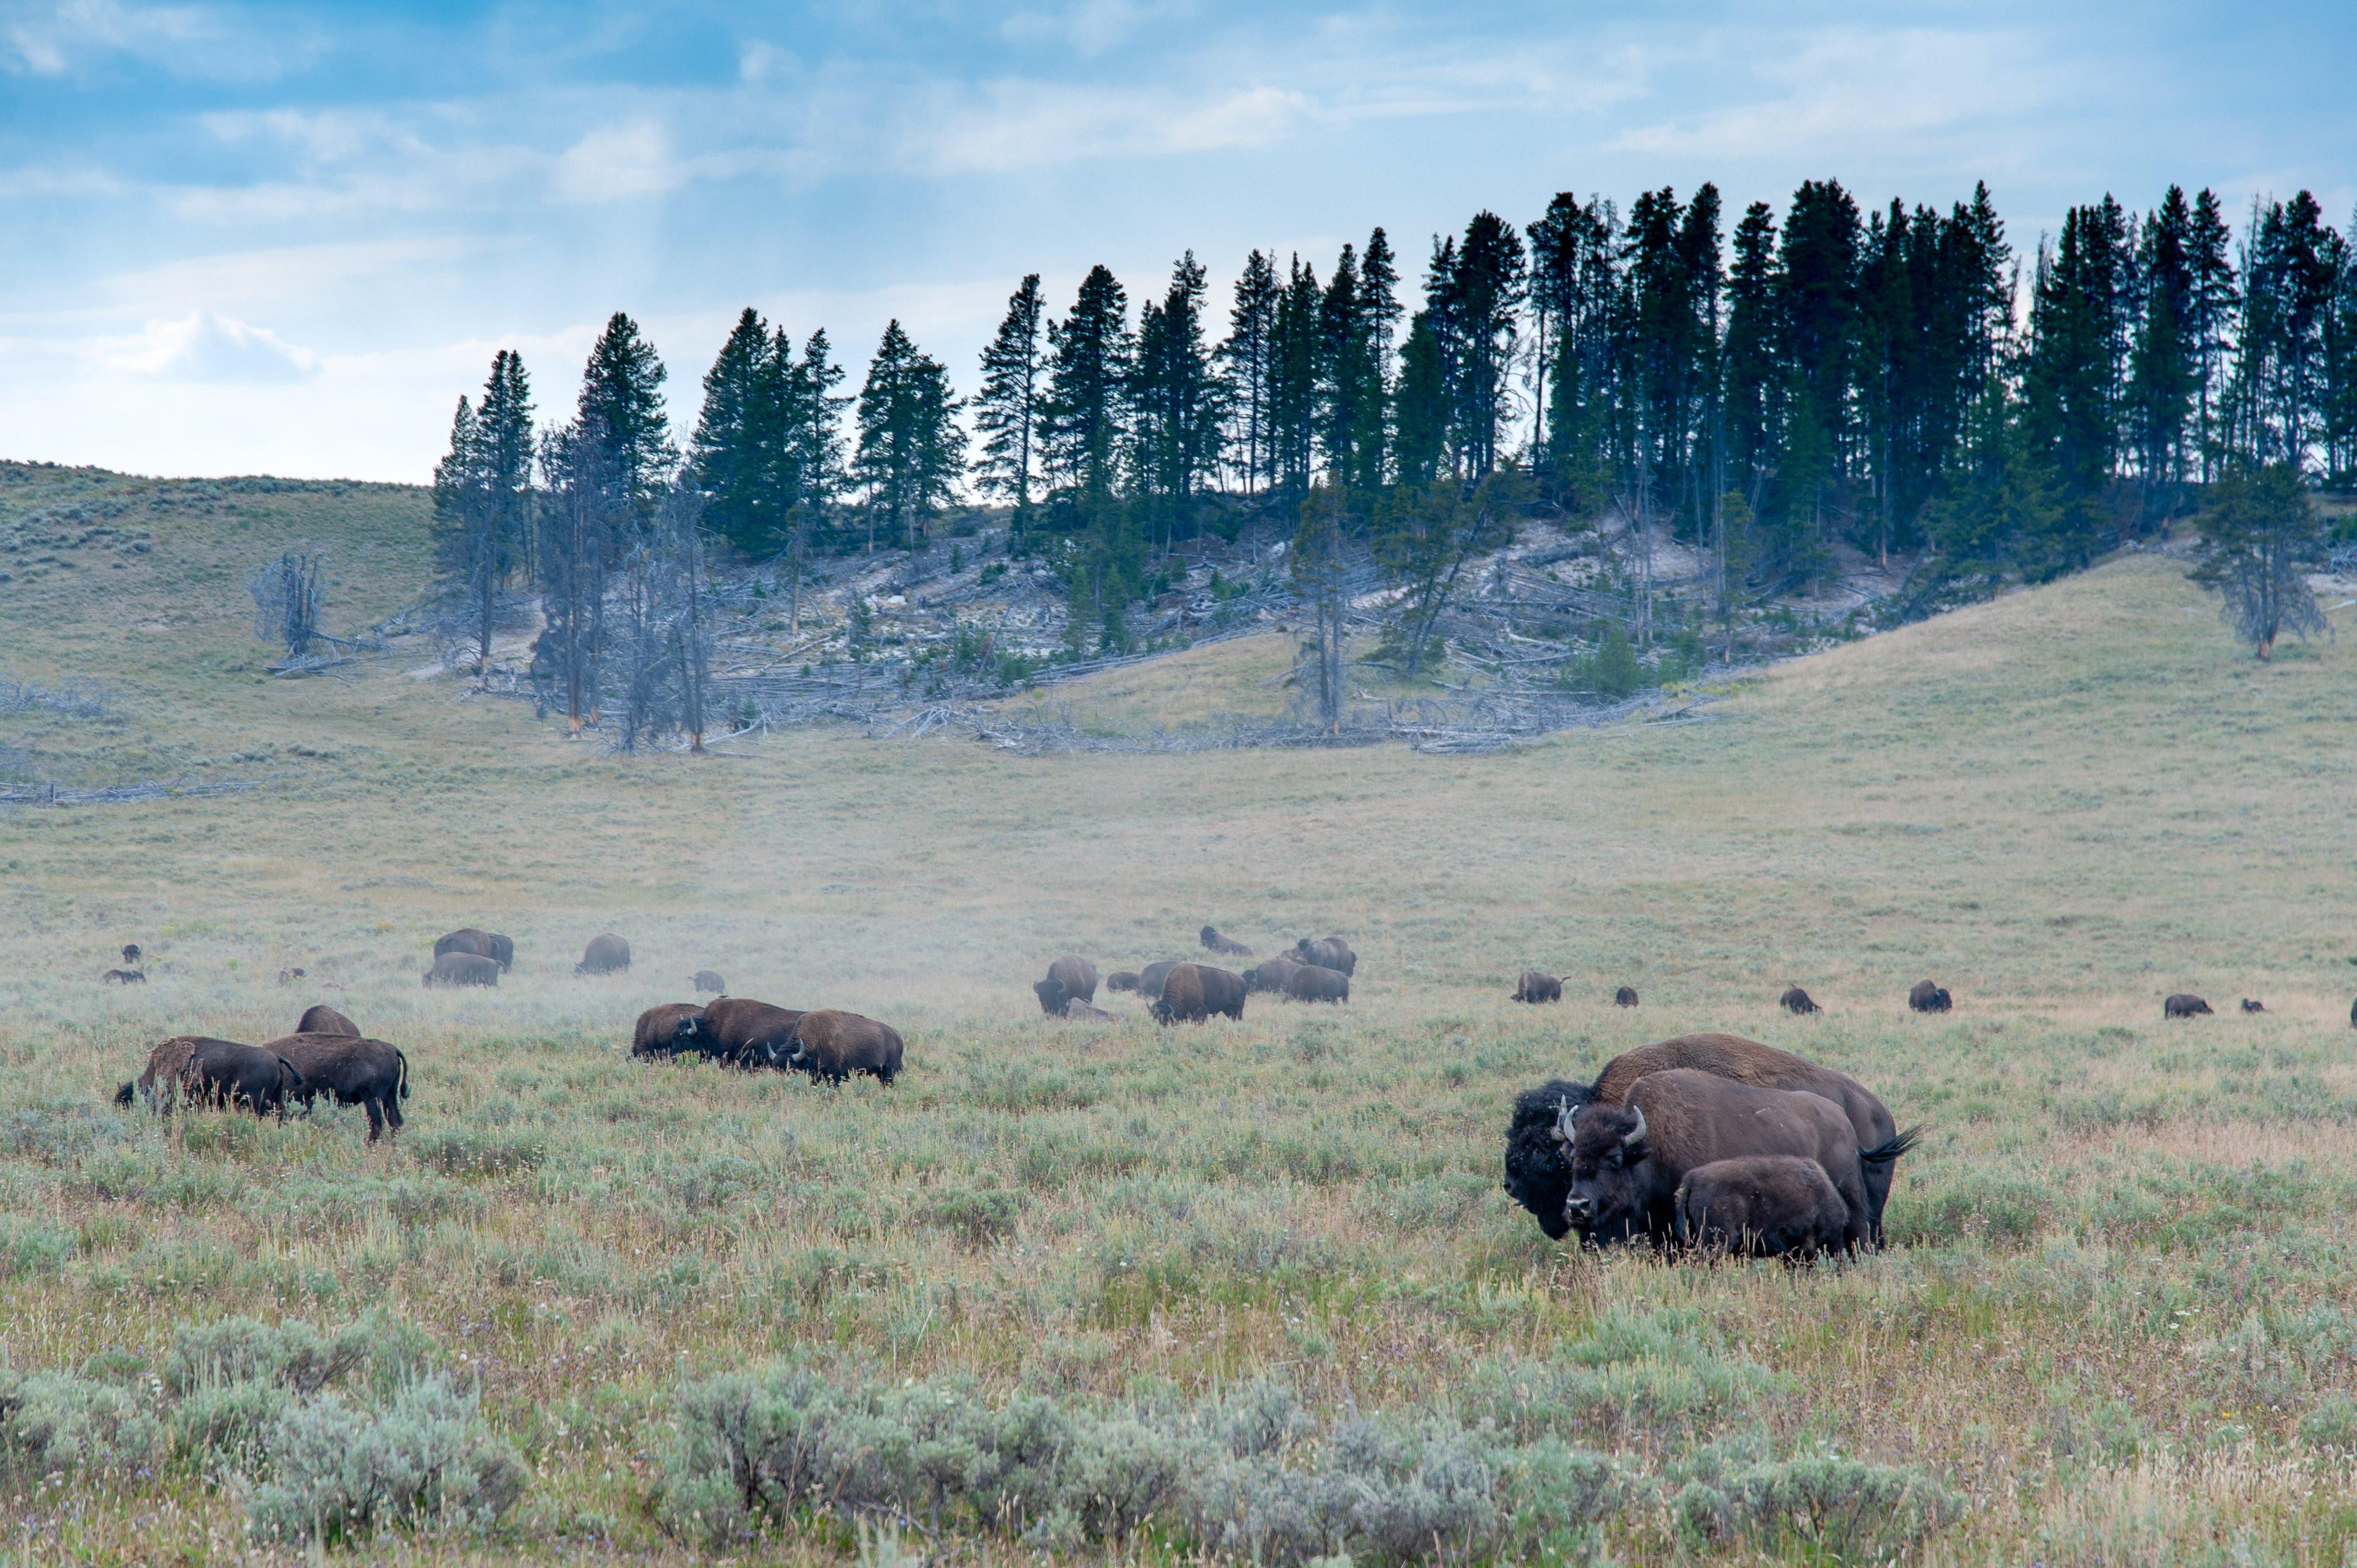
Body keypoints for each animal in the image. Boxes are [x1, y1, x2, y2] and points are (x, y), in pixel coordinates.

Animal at [1151, 962, 1246, 1024]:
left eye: (1166, 1019)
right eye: (1154, 1018)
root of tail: (1242, 980)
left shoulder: (1201, 1011)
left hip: (1236, 1010)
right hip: (1228, 1010)